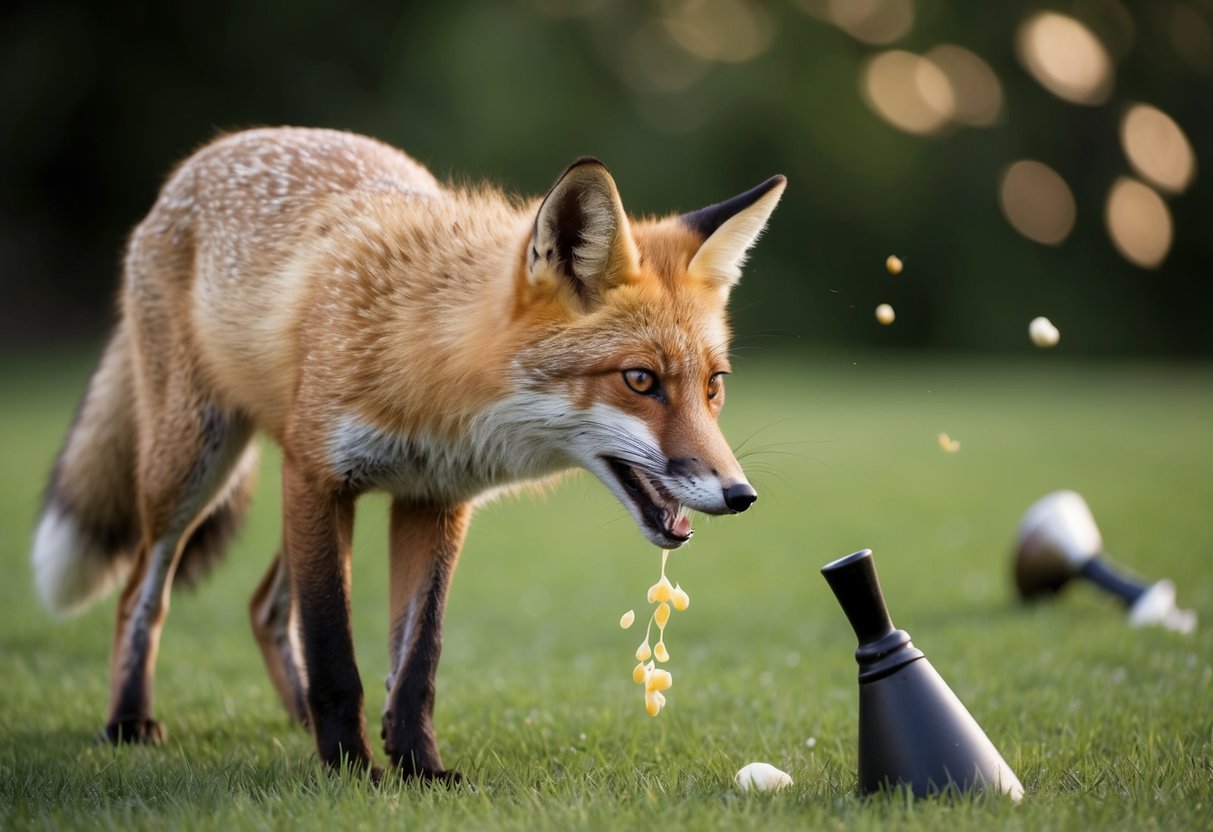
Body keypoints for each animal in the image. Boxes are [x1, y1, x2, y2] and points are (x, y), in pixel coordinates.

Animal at [31, 127, 785, 783]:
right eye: (640, 381)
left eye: (713, 386)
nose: (741, 495)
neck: (435, 379)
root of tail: (205, 156)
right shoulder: (319, 476)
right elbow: (335, 652)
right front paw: (349, 768)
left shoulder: (432, 499)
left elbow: (417, 661)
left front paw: (418, 767)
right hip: (193, 466)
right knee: (141, 593)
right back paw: (129, 720)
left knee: (263, 606)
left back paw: (296, 718)